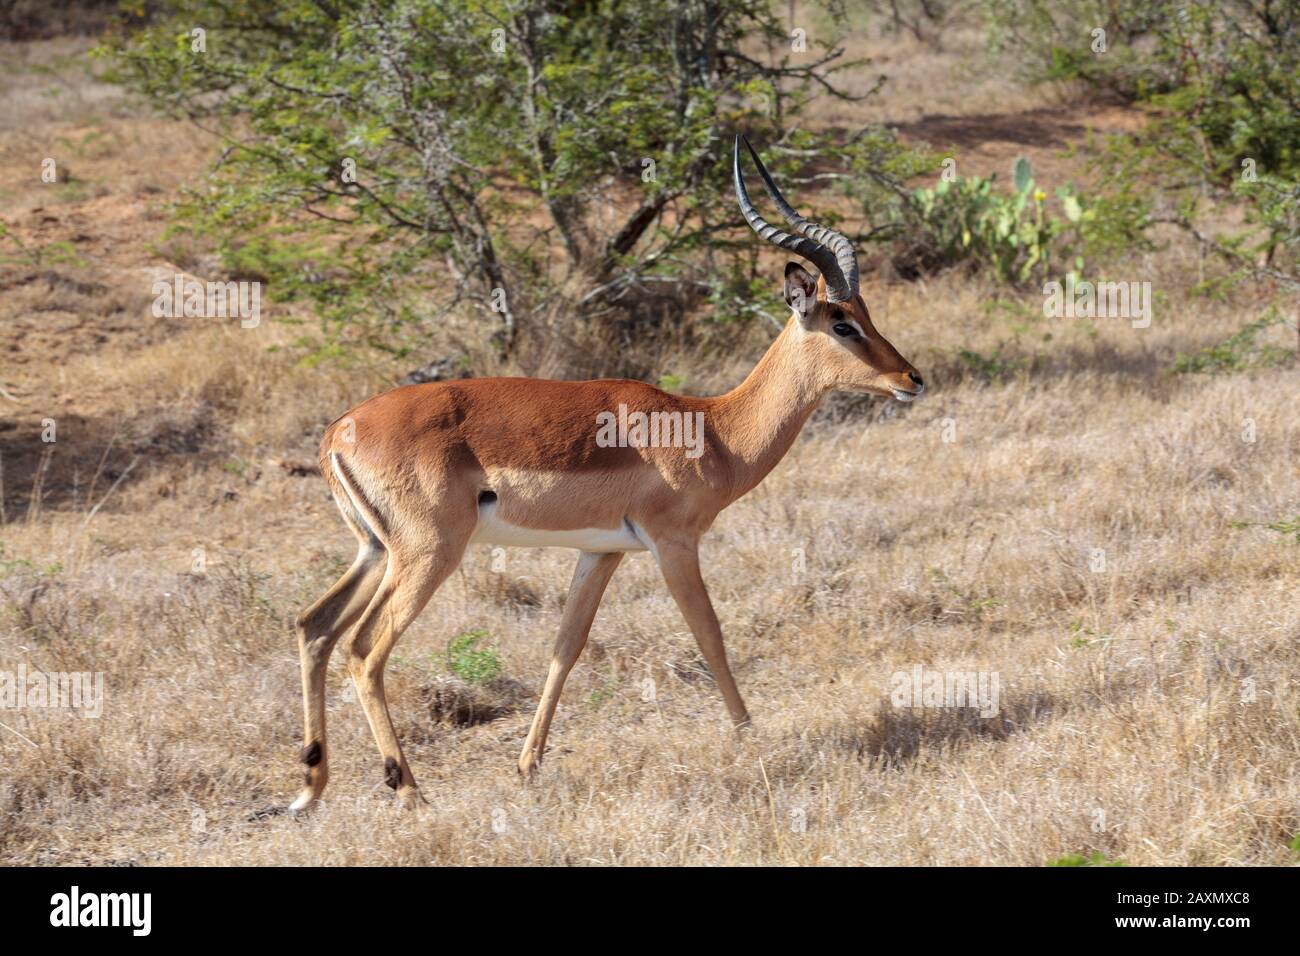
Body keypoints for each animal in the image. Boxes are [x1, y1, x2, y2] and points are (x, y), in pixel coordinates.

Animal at [289, 135, 924, 811]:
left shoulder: (602, 551)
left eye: (865, 312)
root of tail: (338, 431)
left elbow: (565, 647)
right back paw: (408, 789)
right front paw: (753, 742)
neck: (713, 428)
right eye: (841, 323)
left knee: (314, 626)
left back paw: (310, 788)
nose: (912, 378)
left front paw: (528, 766)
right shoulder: (673, 543)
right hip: (427, 552)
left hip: (375, 550)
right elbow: (710, 635)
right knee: (364, 648)